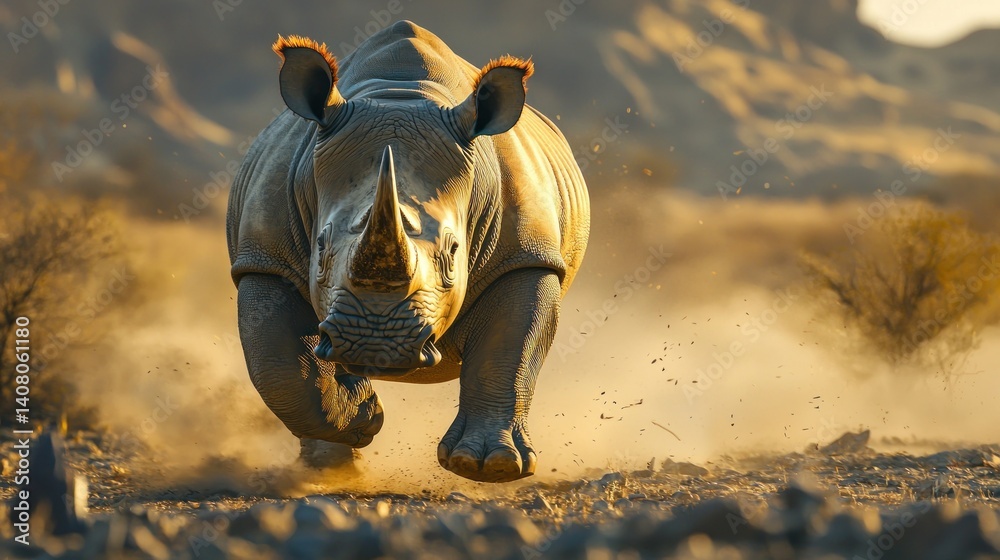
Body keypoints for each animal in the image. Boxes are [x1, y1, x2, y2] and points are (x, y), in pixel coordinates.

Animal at [227, 21, 589, 482]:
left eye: (454, 252)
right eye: (320, 248)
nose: (376, 345)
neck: (401, 96)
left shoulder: (526, 258)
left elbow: (509, 350)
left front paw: (489, 466)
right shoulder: (264, 260)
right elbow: (280, 367)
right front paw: (362, 416)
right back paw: (327, 468)